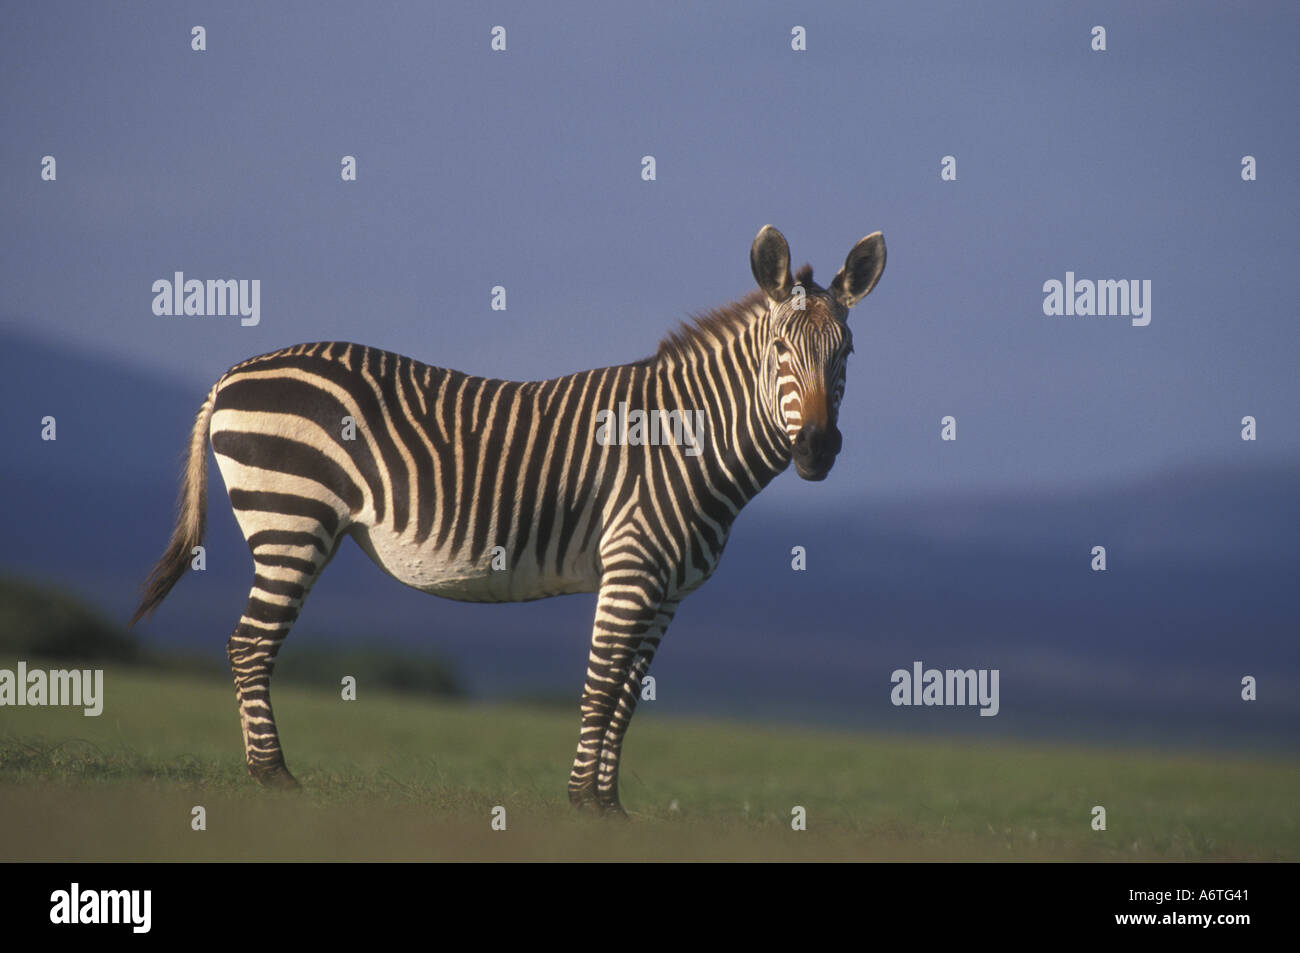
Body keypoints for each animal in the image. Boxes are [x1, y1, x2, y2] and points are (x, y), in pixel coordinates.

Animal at [130, 224, 886, 815]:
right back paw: (274, 776)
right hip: (291, 518)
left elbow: (628, 699)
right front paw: (584, 804)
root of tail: (236, 371)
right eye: (780, 350)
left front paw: (612, 807)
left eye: (846, 354)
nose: (817, 450)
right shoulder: (632, 567)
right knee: (249, 644)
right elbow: (602, 685)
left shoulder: (667, 591)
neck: (686, 441)